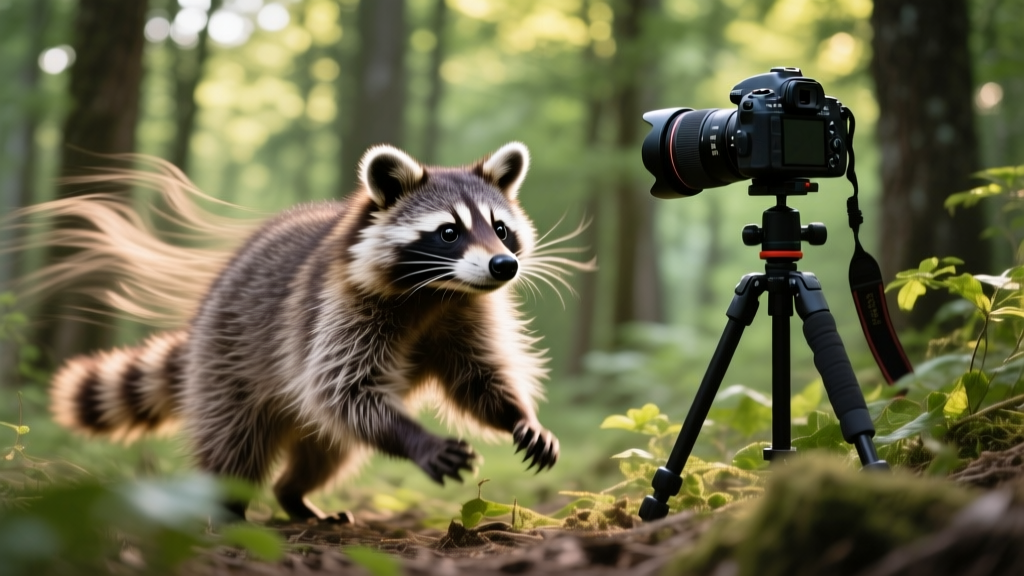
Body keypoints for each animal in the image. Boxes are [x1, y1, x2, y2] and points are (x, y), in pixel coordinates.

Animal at [41, 143, 592, 522]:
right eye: (449, 232)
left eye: (500, 228)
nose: (504, 266)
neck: (437, 293)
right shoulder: (337, 313)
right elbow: (342, 389)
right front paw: (417, 439)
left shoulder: (465, 315)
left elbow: (477, 379)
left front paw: (519, 416)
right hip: (227, 364)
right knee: (236, 444)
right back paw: (229, 505)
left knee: (328, 451)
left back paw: (294, 495)